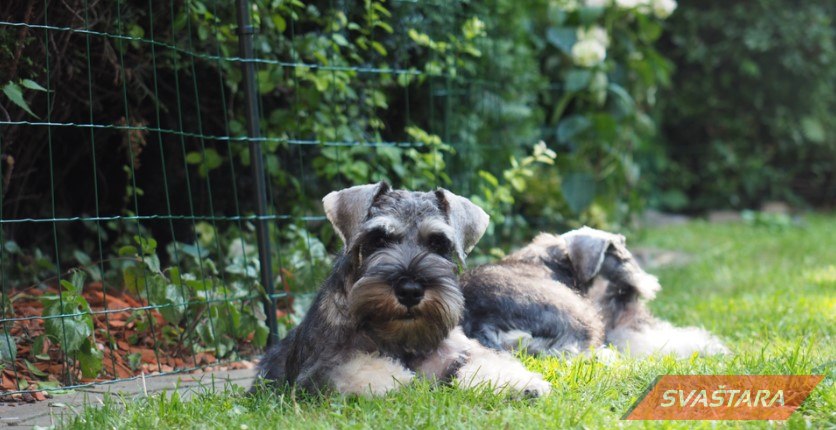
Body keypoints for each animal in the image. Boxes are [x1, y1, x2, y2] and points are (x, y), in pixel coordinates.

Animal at [255, 181, 556, 396]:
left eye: (438, 243)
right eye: (379, 238)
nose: (410, 290)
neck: (398, 336)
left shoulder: (460, 349)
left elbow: (488, 359)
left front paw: (522, 383)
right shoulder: (321, 369)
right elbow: (357, 370)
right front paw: (398, 379)